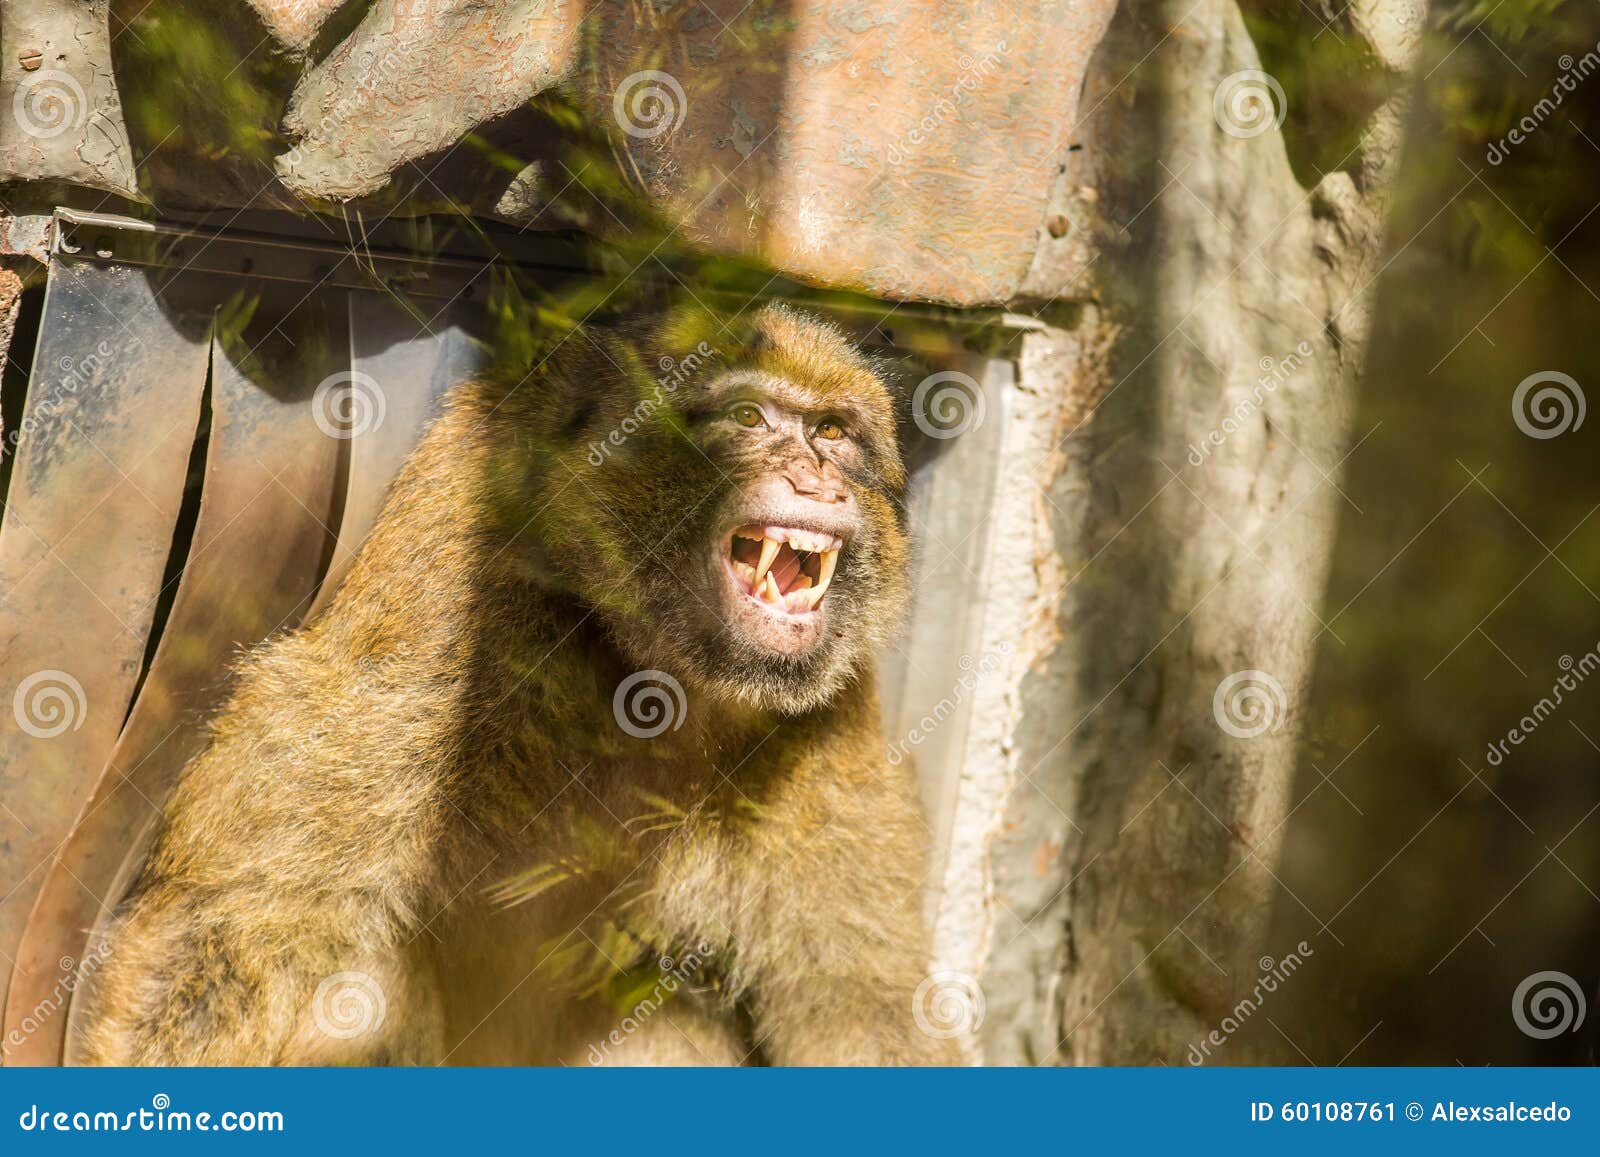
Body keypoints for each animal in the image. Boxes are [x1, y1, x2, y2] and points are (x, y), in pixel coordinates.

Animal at [79, 303, 961, 1066]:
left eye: (833, 433)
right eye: (748, 419)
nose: (817, 482)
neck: (653, 672)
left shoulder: (828, 716)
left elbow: (860, 1009)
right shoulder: (455, 589)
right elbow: (238, 924)